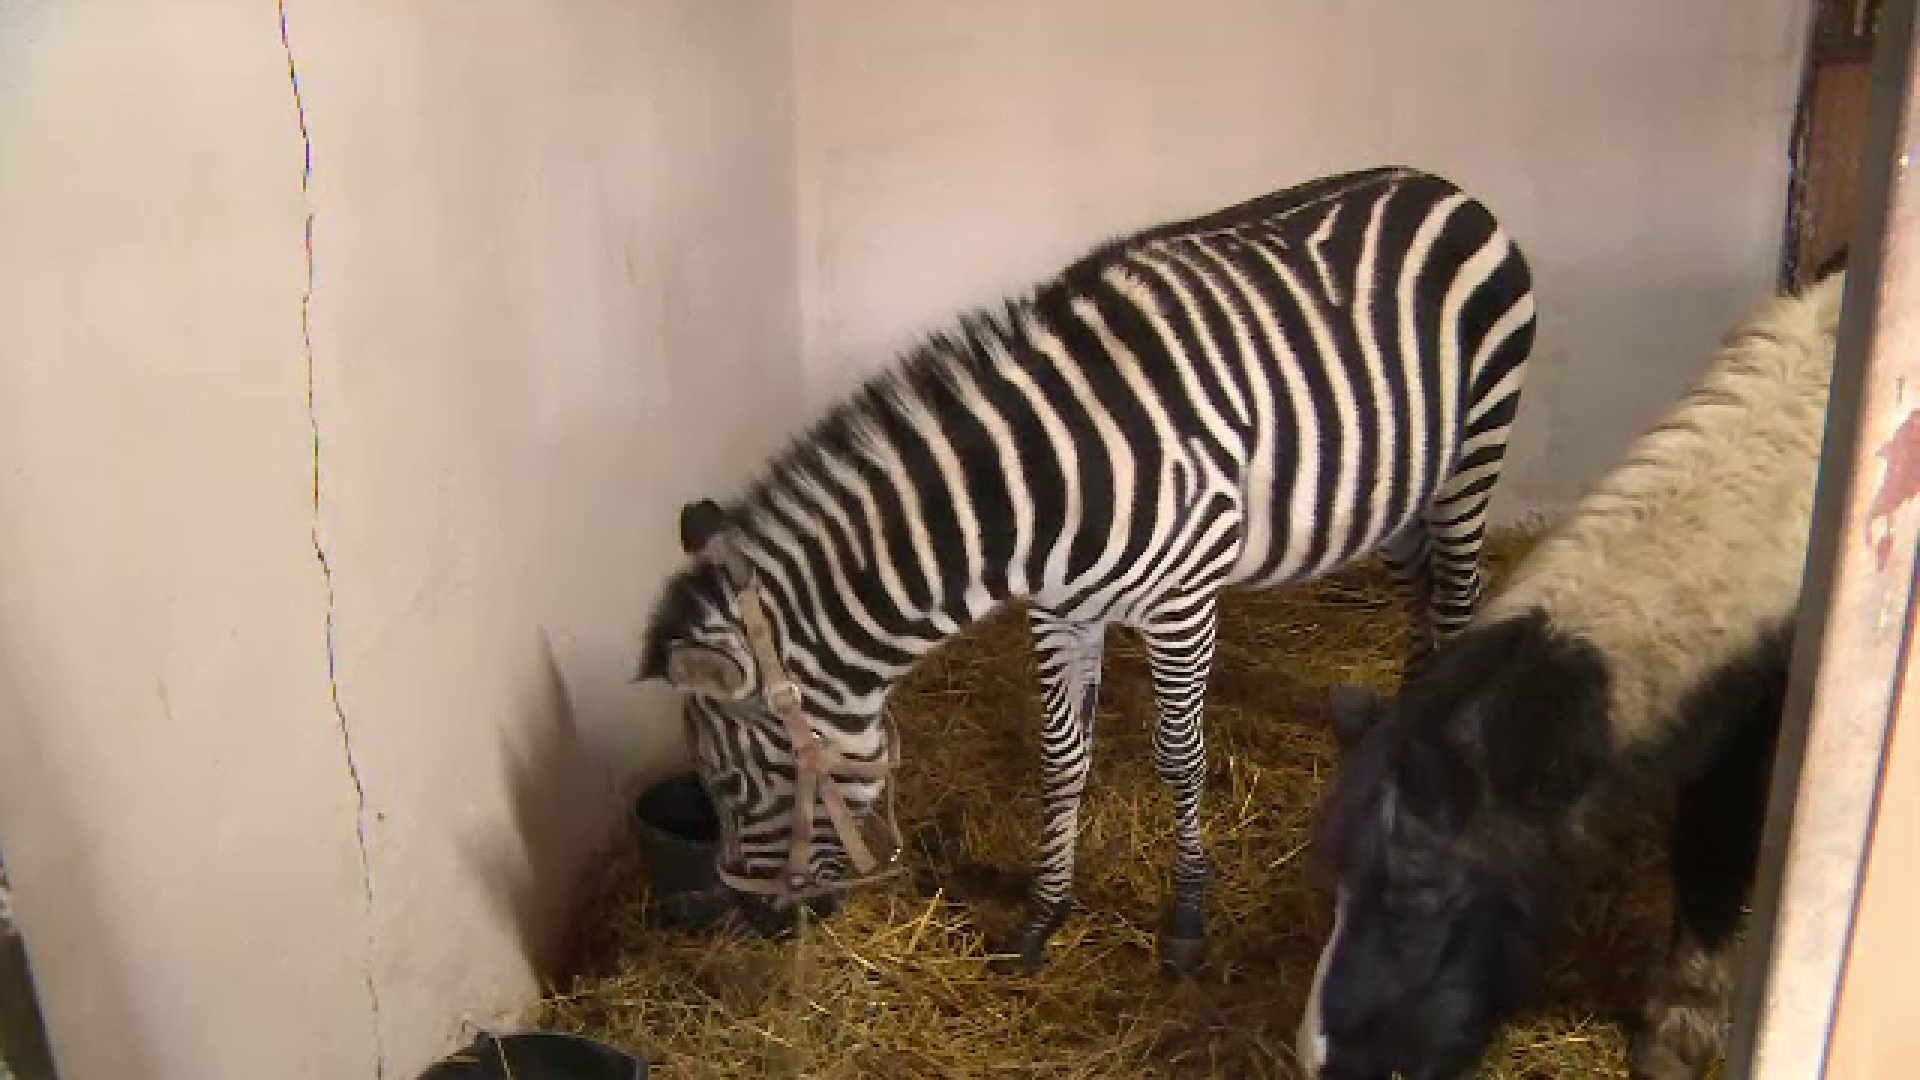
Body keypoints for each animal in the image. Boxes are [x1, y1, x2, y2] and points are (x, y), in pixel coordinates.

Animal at [636, 165, 1539, 975]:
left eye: (731, 781)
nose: (755, 923)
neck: (1044, 492)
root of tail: (1440, 184)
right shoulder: (1060, 610)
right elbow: (1061, 755)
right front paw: (1046, 913)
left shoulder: (1183, 604)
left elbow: (1180, 754)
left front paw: (1187, 917)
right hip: (1394, 486)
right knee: (1419, 584)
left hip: (1474, 452)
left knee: (1457, 594)